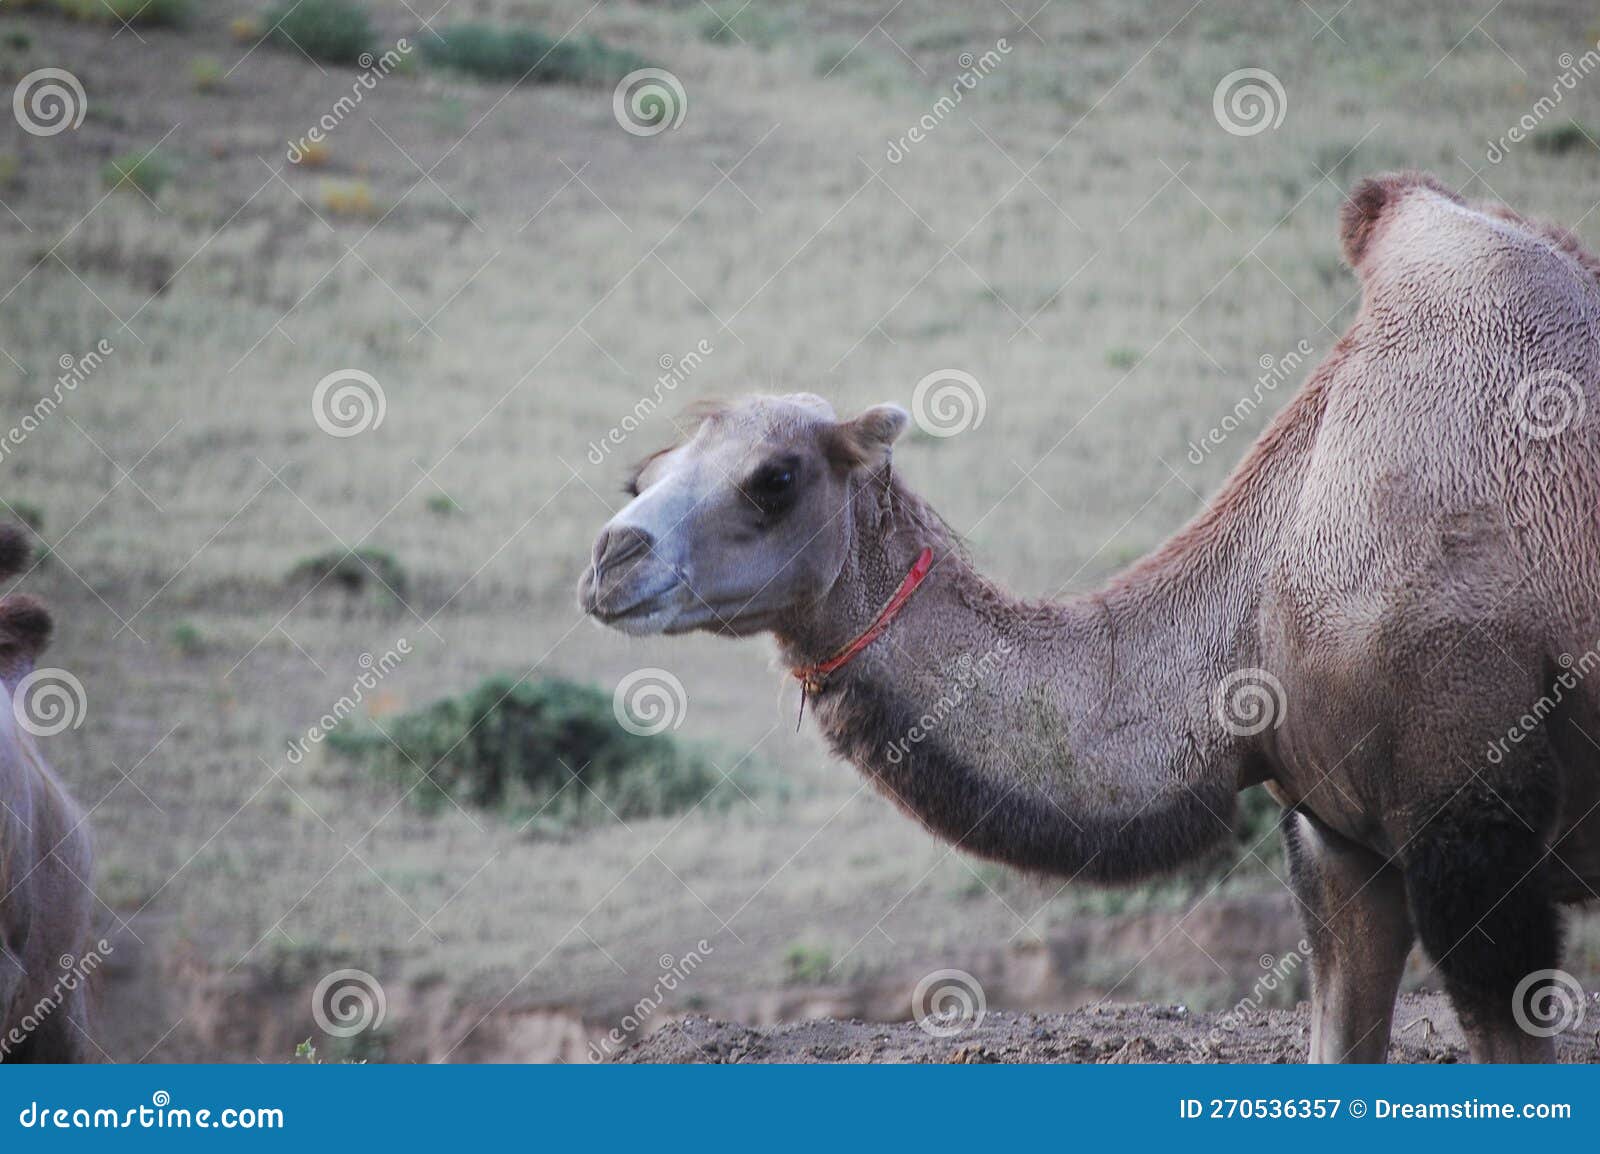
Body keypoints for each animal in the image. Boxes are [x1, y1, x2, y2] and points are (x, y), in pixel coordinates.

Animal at [579, 173, 1600, 1063]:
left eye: (775, 478)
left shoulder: (1473, 819)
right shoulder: (1338, 839)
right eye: (643, 475)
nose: (607, 562)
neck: (1262, 603)